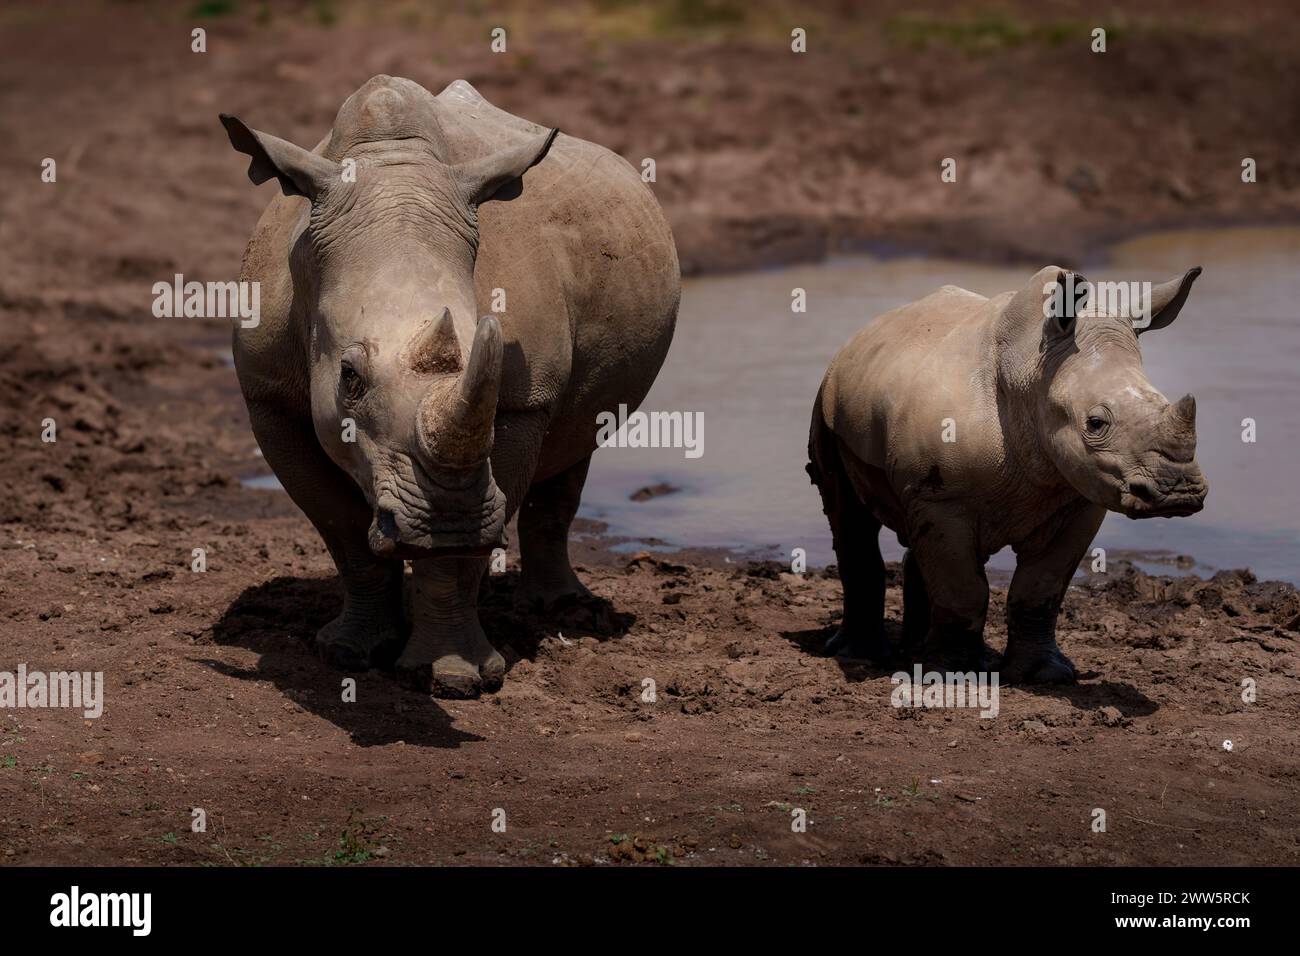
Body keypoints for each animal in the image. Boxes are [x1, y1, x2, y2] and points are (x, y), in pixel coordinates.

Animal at [221, 75, 679, 698]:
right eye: (349, 378)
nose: (450, 522)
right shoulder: (268, 399)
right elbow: (343, 530)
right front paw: (346, 652)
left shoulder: (521, 402)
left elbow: (460, 551)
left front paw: (453, 677)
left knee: (577, 440)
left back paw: (563, 612)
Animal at [808, 266, 1206, 683]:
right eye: (1095, 423)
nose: (1180, 493)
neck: (1033, 374)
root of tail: (863, 334)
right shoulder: (944, 498)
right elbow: (963, 590)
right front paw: (953, 675)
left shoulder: (1081, 502)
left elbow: (1040, 588)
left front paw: (1044, 674)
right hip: (829, 402)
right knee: (850, 521)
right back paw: (863, 655)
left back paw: (916, 652)